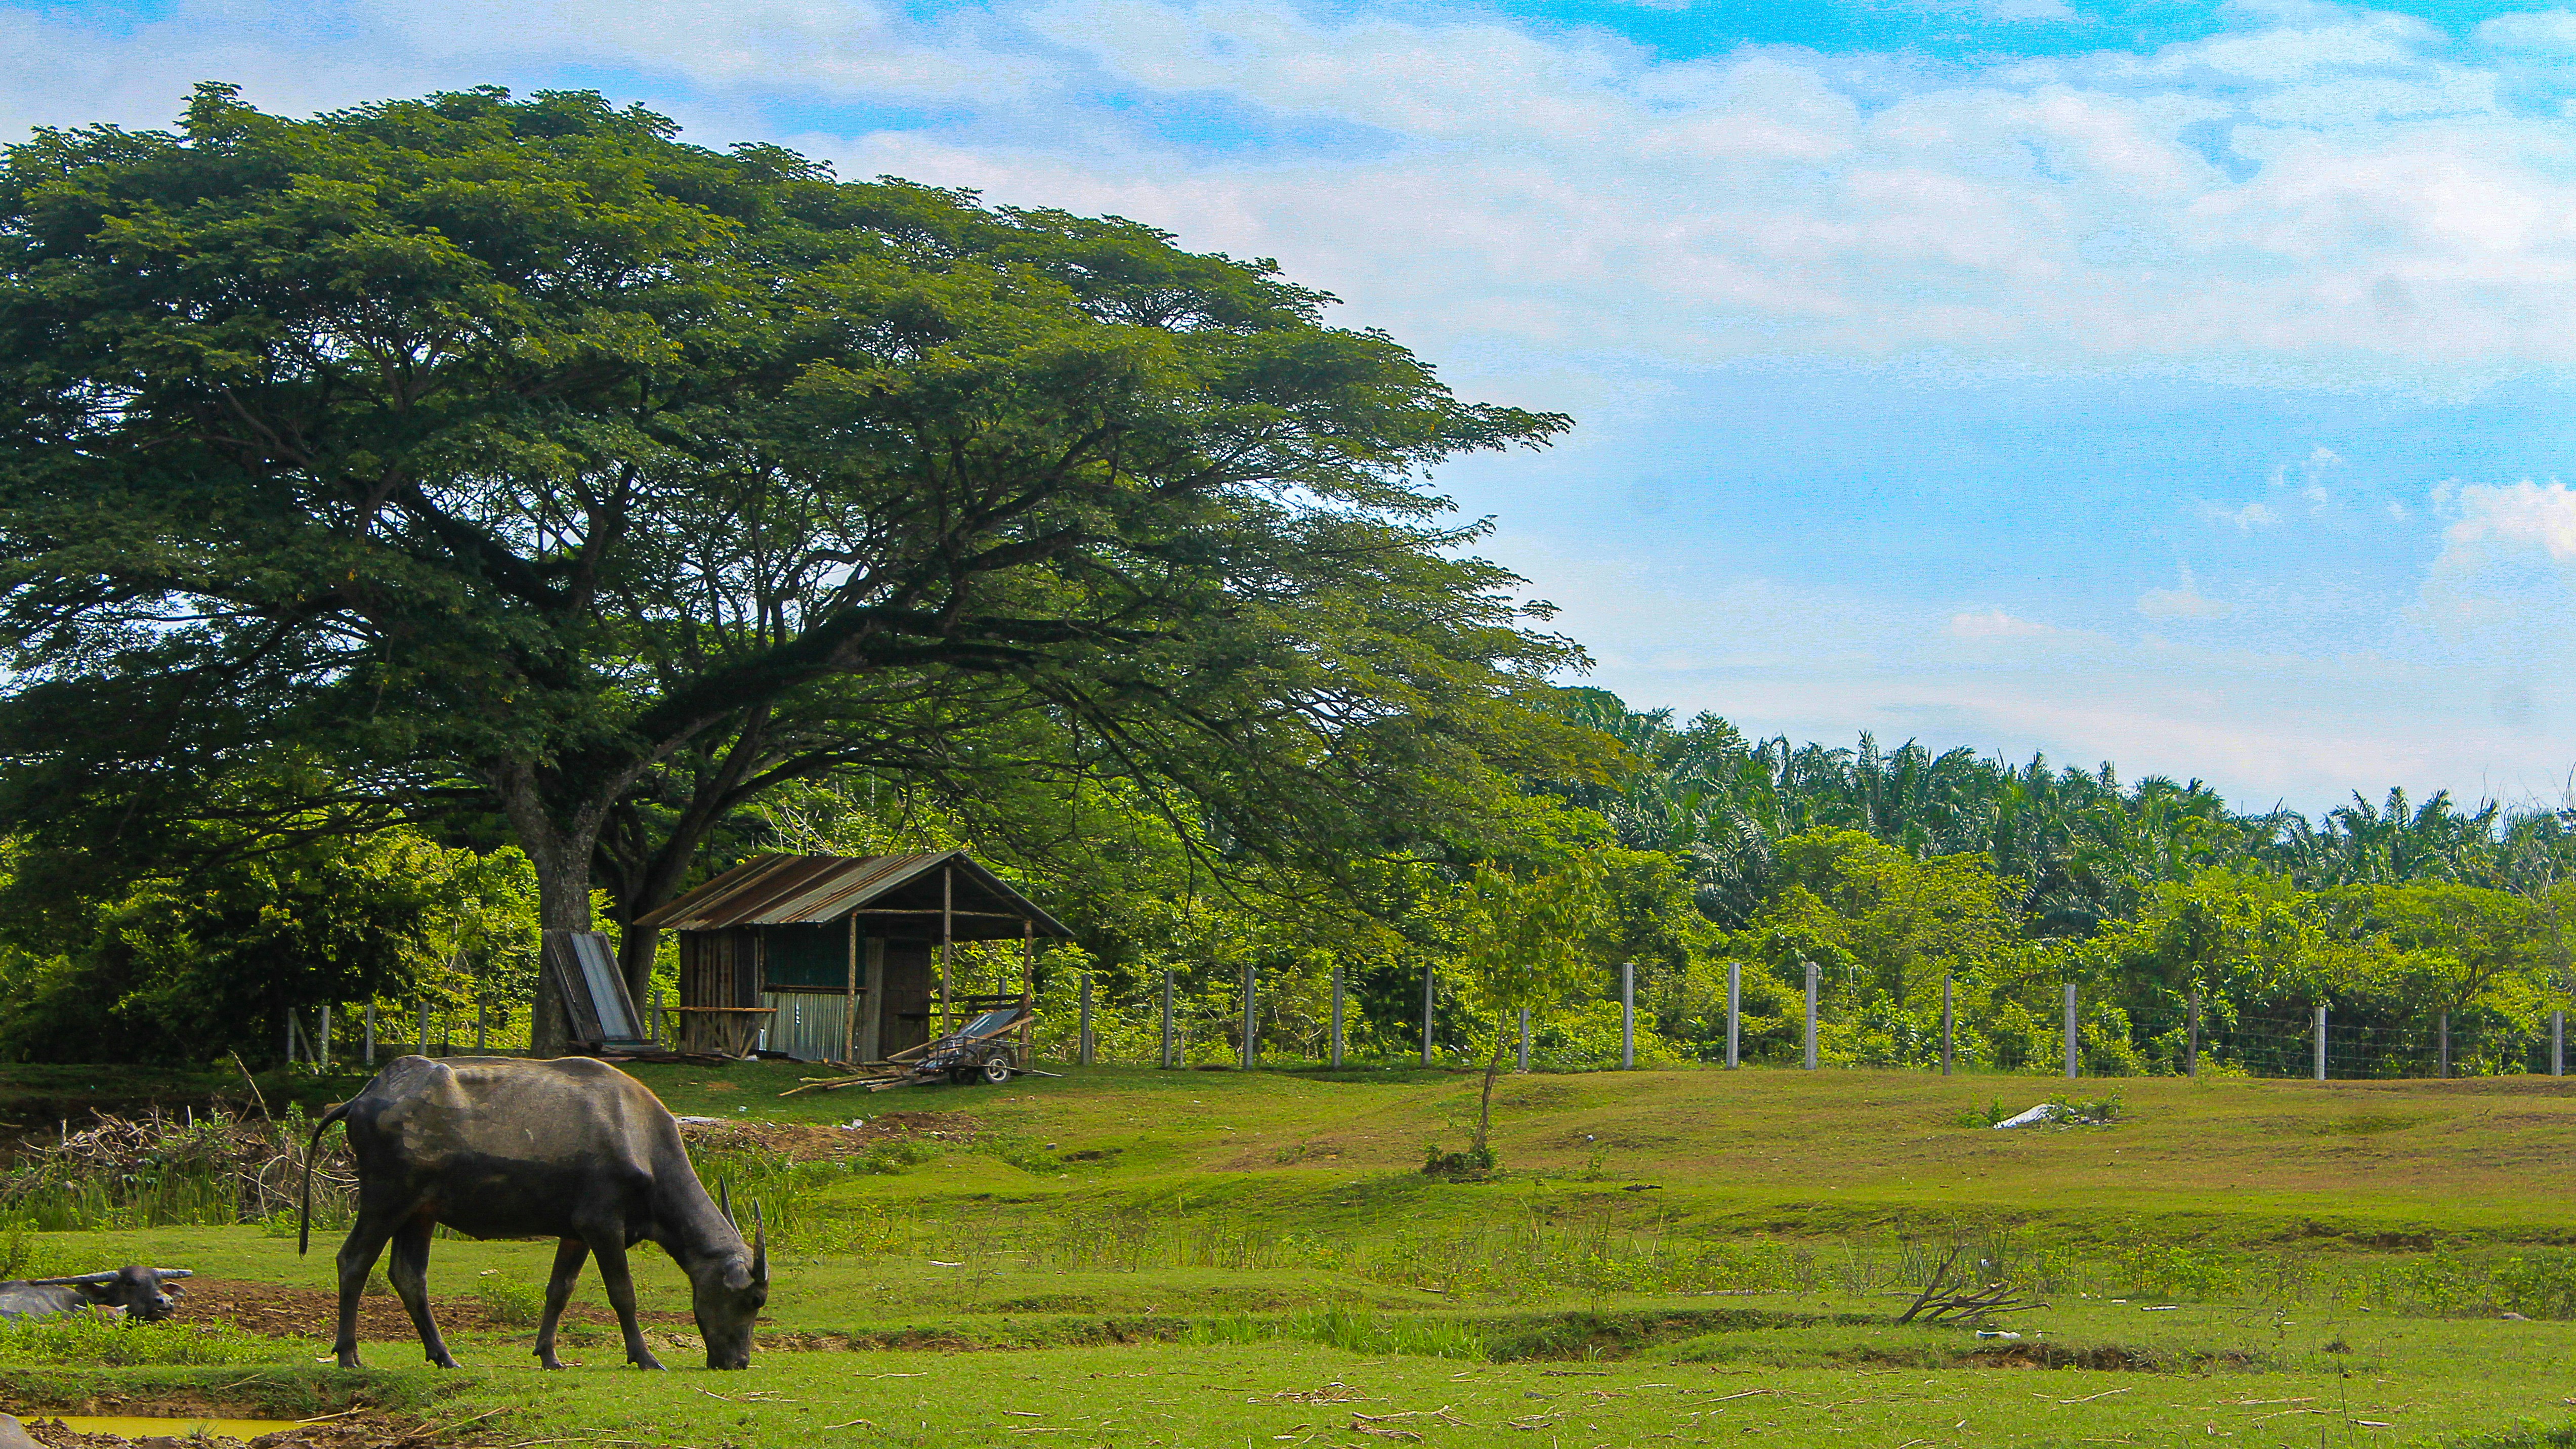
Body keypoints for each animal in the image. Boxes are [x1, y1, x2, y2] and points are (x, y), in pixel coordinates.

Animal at [301, 1055, 766, 1371]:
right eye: (753, 1299)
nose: (738, 1361)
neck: (639, 1135)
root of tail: (366, 1096)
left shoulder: (577, 1231)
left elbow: (560, 1290)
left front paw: (549, 1355)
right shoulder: (603, 1225)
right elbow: (623, 1294)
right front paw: (645, 1357)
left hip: (421, 1211)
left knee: (408, 1275)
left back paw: (444, 1355)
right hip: (386, 1201)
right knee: (354, 1261)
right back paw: (349, 1354)